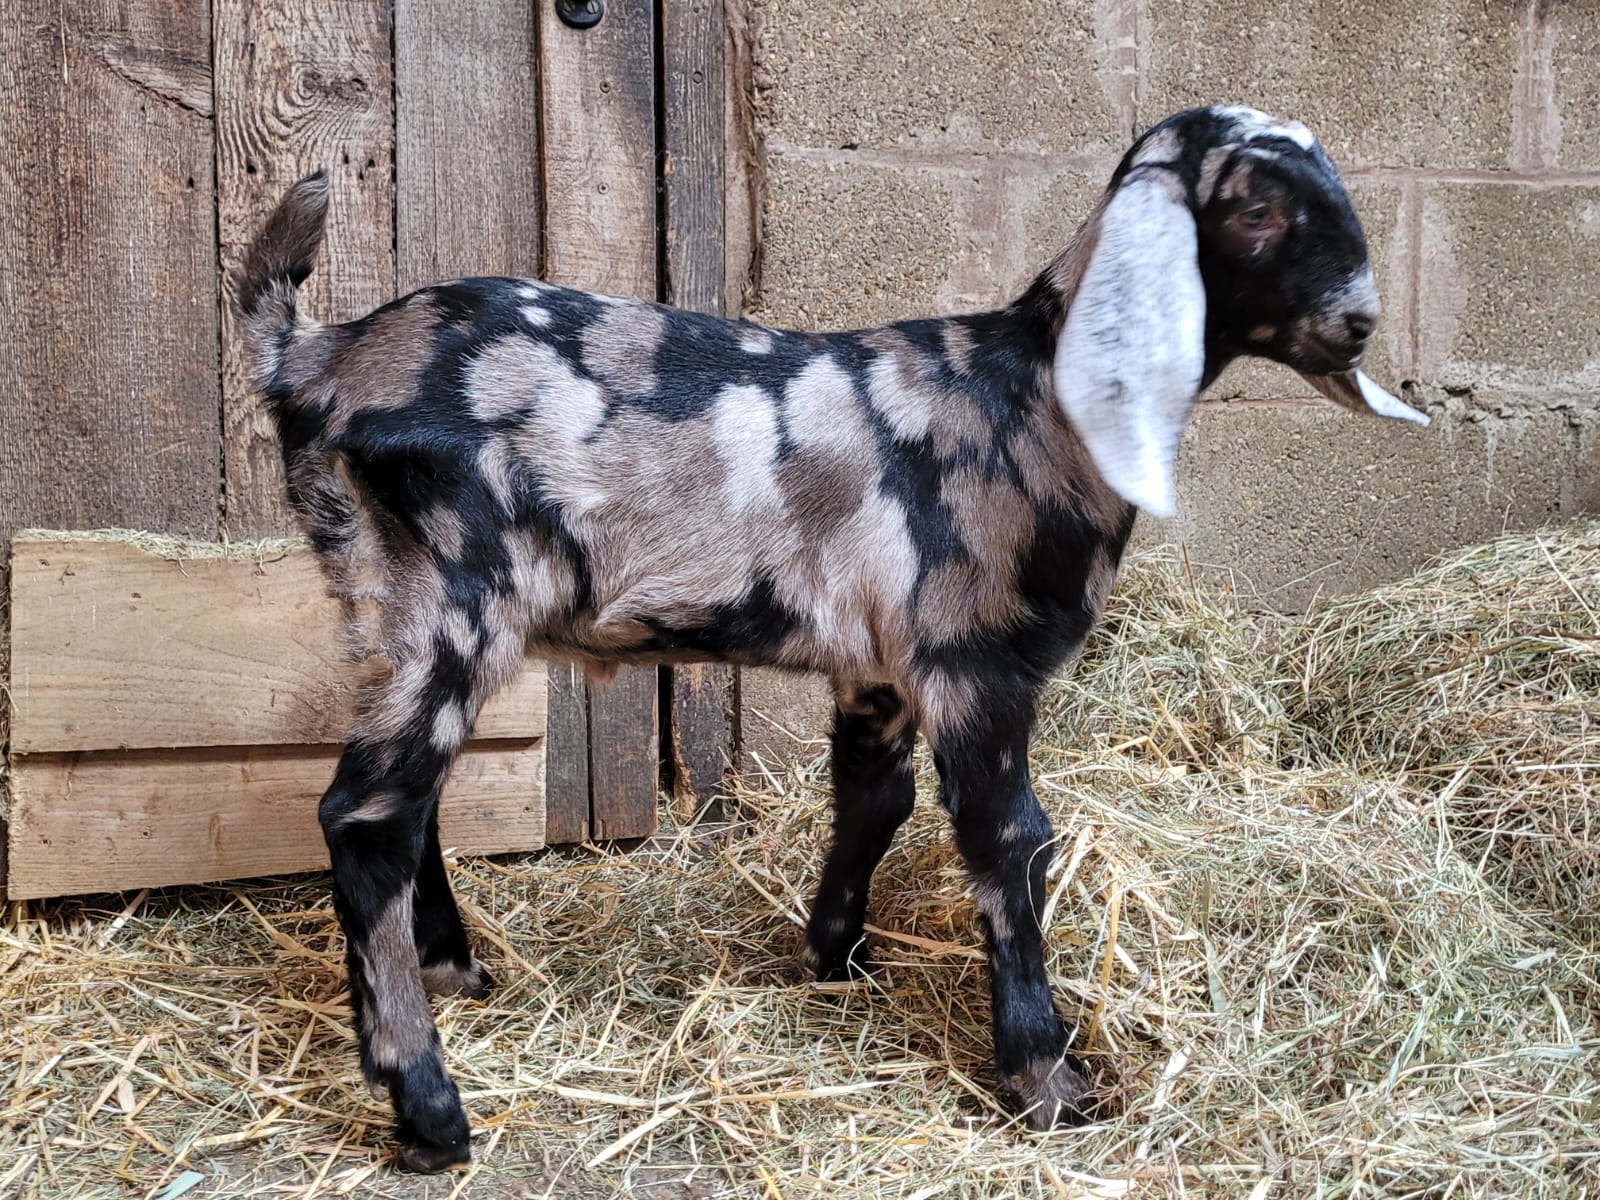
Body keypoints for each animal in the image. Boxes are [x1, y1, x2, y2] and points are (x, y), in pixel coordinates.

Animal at [235, 105, 1429, 1170]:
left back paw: (454, 972)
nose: (1361, 324)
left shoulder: (880, 663)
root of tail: (317, 358)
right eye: (1259, 212)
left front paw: (837, 957)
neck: (1034, 399)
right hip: (448, 588)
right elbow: (1010, 842)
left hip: (383, 598)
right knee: (366, 819)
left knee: (410, 800)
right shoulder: (972, 659)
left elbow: (873, 796)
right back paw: (429, 1109)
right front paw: (1046, 1078)